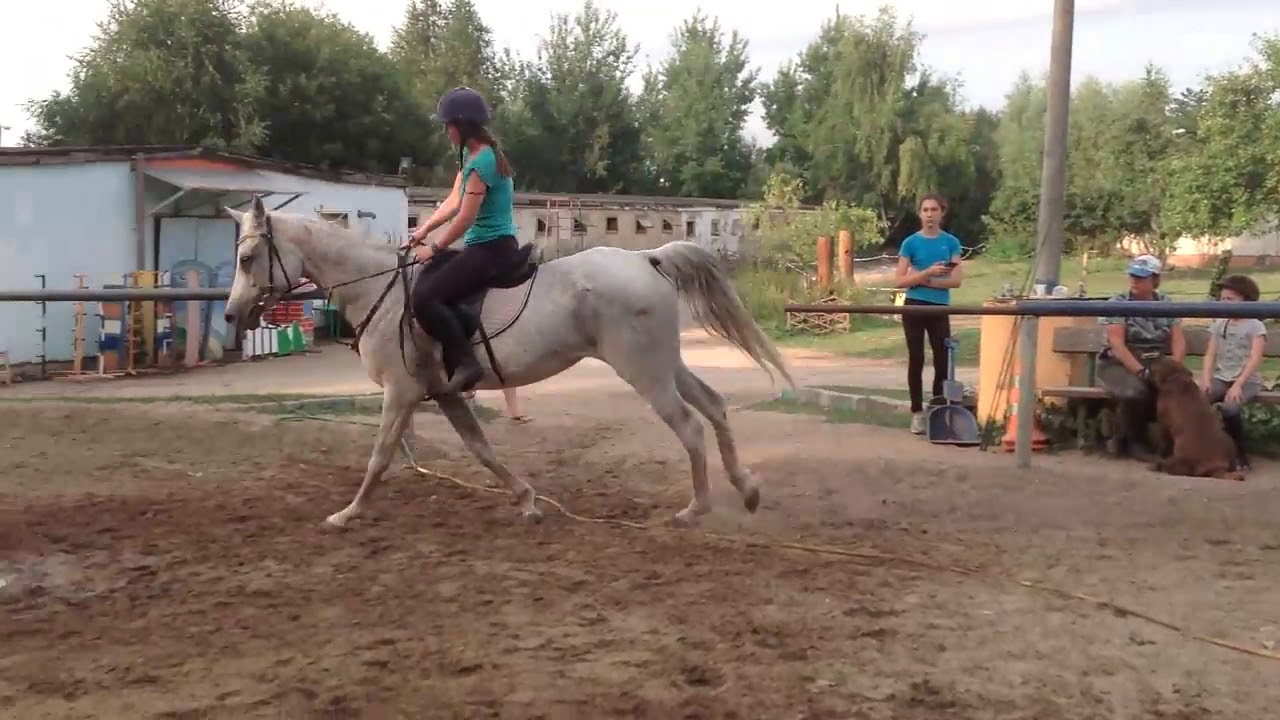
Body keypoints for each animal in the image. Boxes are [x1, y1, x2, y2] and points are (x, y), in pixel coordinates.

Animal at [222, 195, 794, 529]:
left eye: (247, 259)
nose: (231, 314)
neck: (378, 290)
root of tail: (643, 258)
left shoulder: (401, 393)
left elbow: (380, 456)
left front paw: (347, 513)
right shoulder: (445, 393)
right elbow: (483, 451)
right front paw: (527, 499)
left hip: (643, 371)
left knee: (691, 426)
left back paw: (696, 509)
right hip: (664, 364)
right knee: (715, 407)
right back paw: (747, 491)